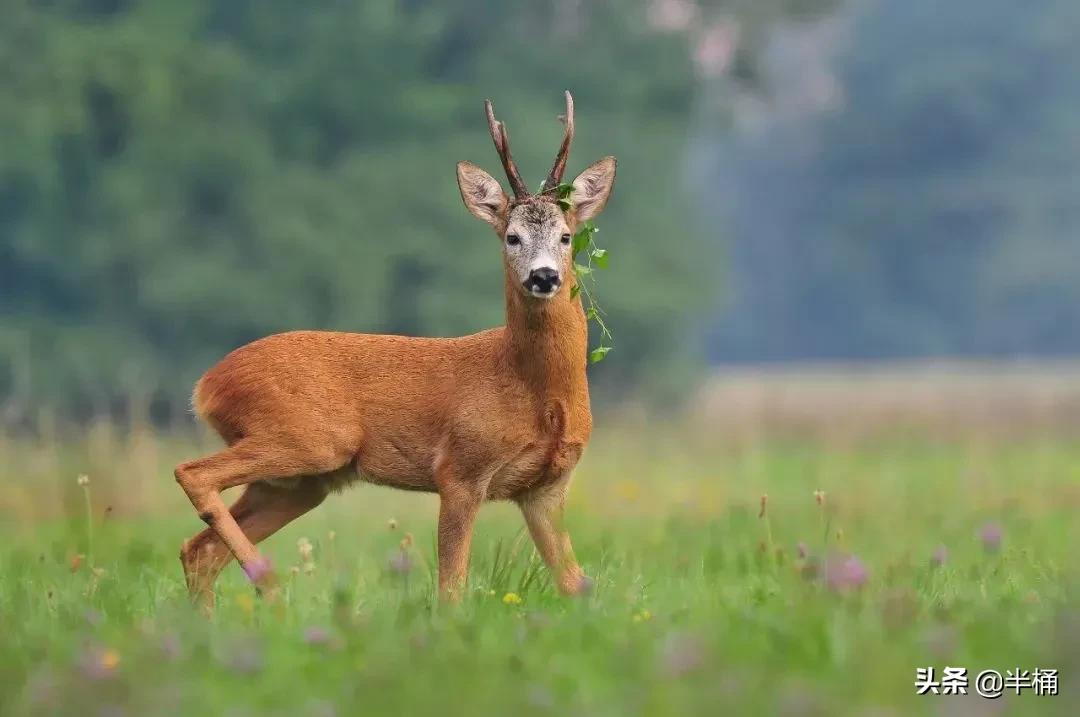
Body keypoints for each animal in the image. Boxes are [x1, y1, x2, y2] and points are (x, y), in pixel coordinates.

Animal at [175, 91, 617, 605]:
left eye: (566, 236)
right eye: (512, 237)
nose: (543, 276)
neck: (536, 391)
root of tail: (206, 386)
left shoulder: (546, 488)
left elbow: (575, 585)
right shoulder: (459, 469)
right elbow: (451, 587)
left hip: (298, 481)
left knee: (199, 549)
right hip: (307, 438)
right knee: (192, 475)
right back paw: (270, 584)